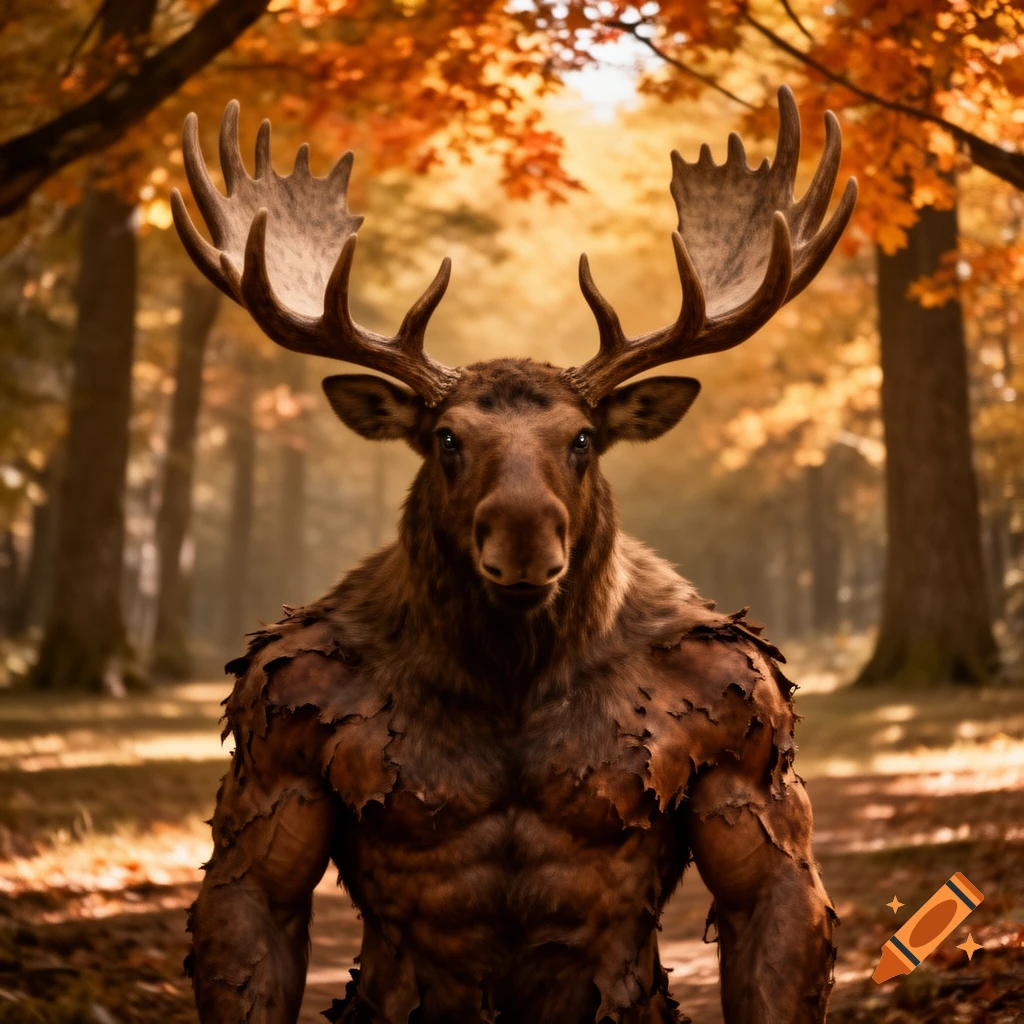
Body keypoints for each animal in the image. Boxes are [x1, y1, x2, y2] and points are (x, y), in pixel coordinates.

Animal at [171, 87, 856, 1024]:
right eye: (447, 439)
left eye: (582, 440)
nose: (525, 538)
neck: (511, 668)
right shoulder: (275, 716)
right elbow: (254, 889)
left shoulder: (745, 706)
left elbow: (769, 890)